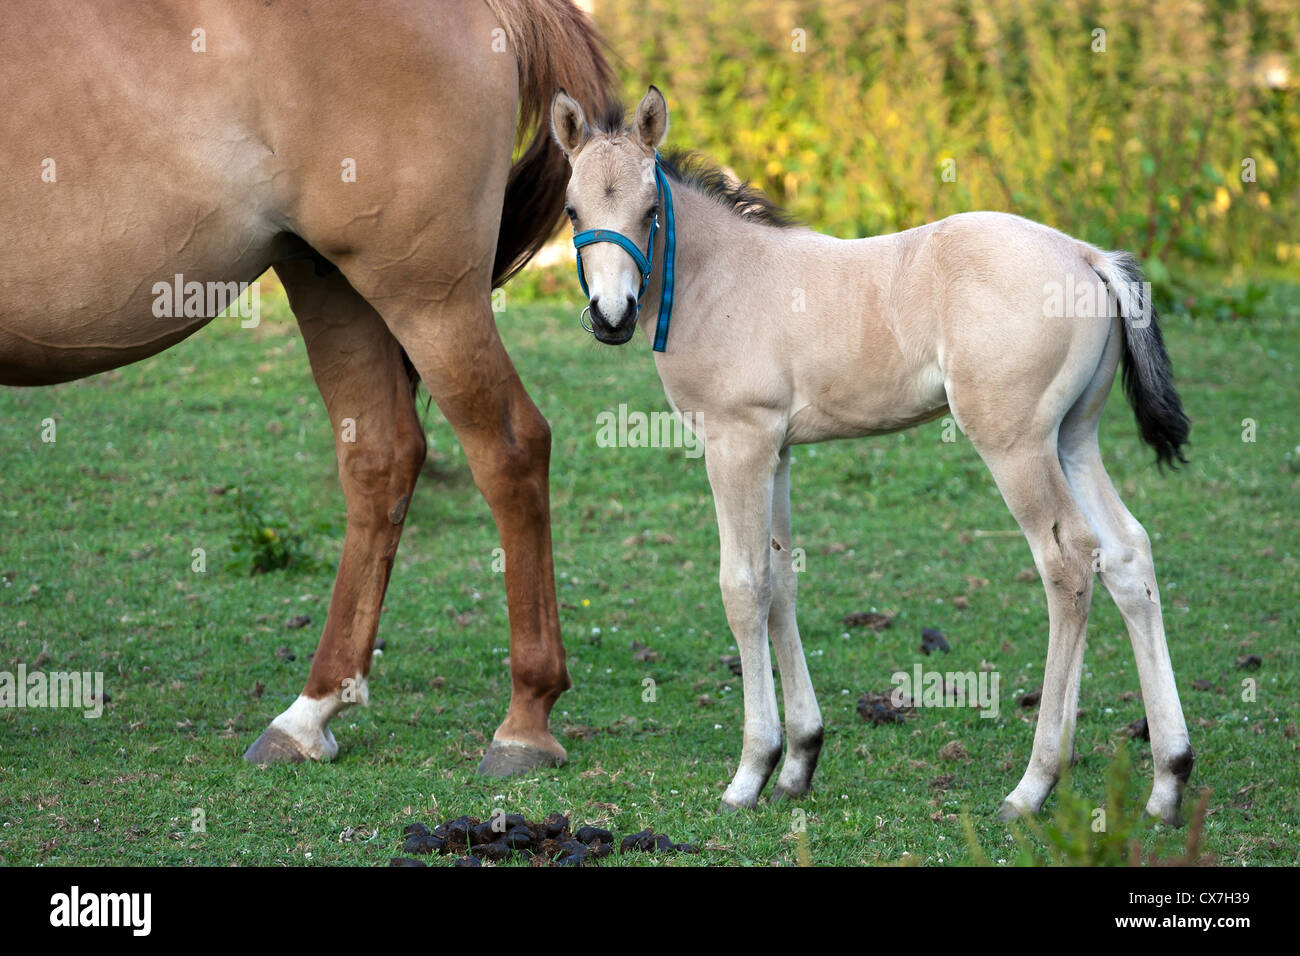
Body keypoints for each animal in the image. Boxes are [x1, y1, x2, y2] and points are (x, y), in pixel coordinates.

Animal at [0, 0, 618, 778]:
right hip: (330, 282)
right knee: (382, 460)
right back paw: (309, 713)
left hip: (428, 295)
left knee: (511, 448)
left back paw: (524, 723)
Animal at [550, 87, 1195, 824]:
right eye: (573, 210)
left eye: (649, 211)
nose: (612, 316)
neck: (720, 277)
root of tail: (1087, 255)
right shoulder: (777, 450)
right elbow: (782, 580)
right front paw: (799, 760)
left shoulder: (737, 443)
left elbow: (743, 586)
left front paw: (751, 771)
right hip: (1073, 438)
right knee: (1127, 553)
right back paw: (1168, 780)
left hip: (1016, 444)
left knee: (1068, 561)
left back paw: (1034, 784)